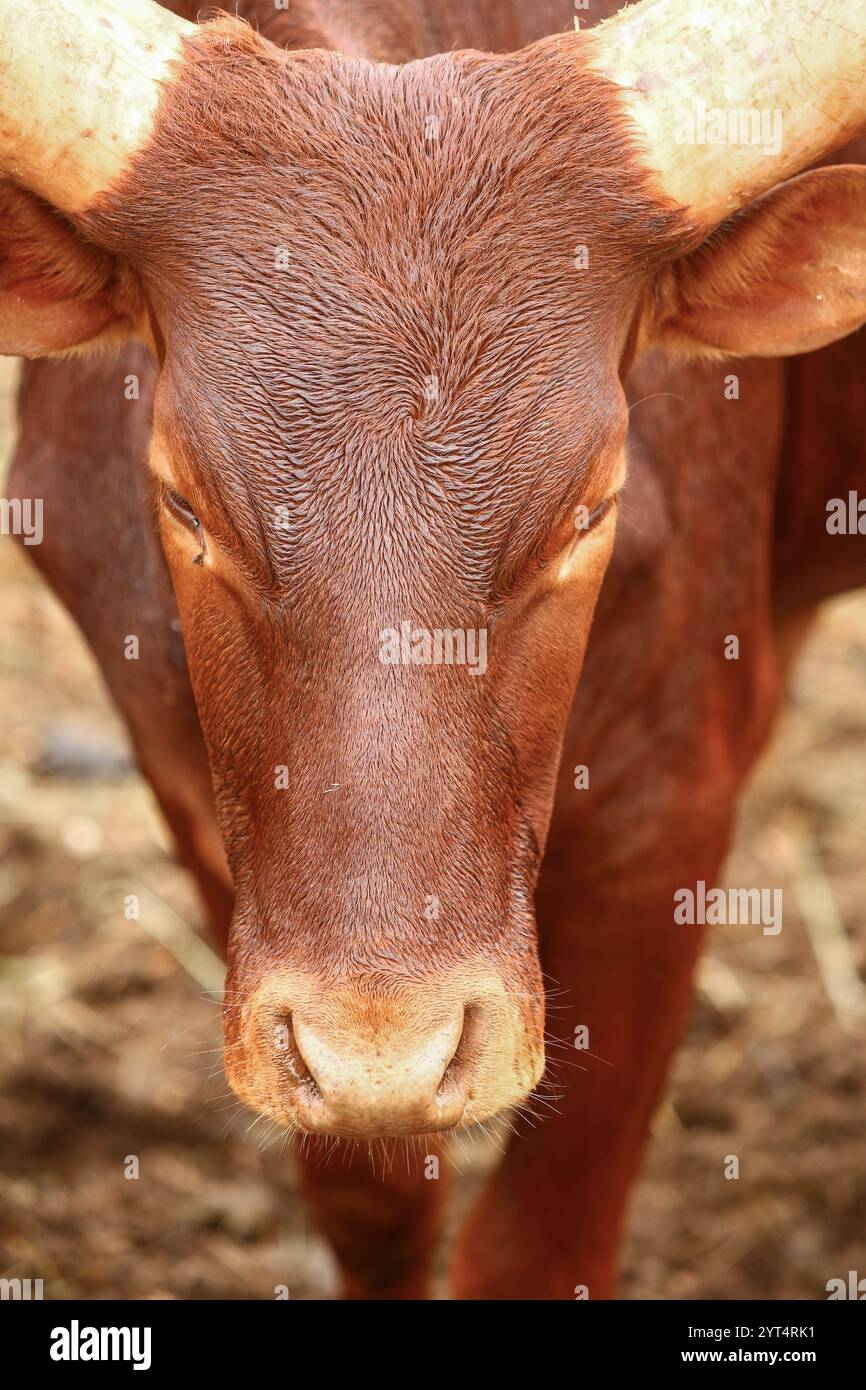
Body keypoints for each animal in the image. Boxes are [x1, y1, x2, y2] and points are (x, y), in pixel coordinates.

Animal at [2, 0, 865, 1299]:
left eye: (589, 509)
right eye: (184, 501)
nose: (382, 1048)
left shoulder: (663, 817)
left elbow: (532, 1244)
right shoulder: (198, 806)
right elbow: (369, 1198)